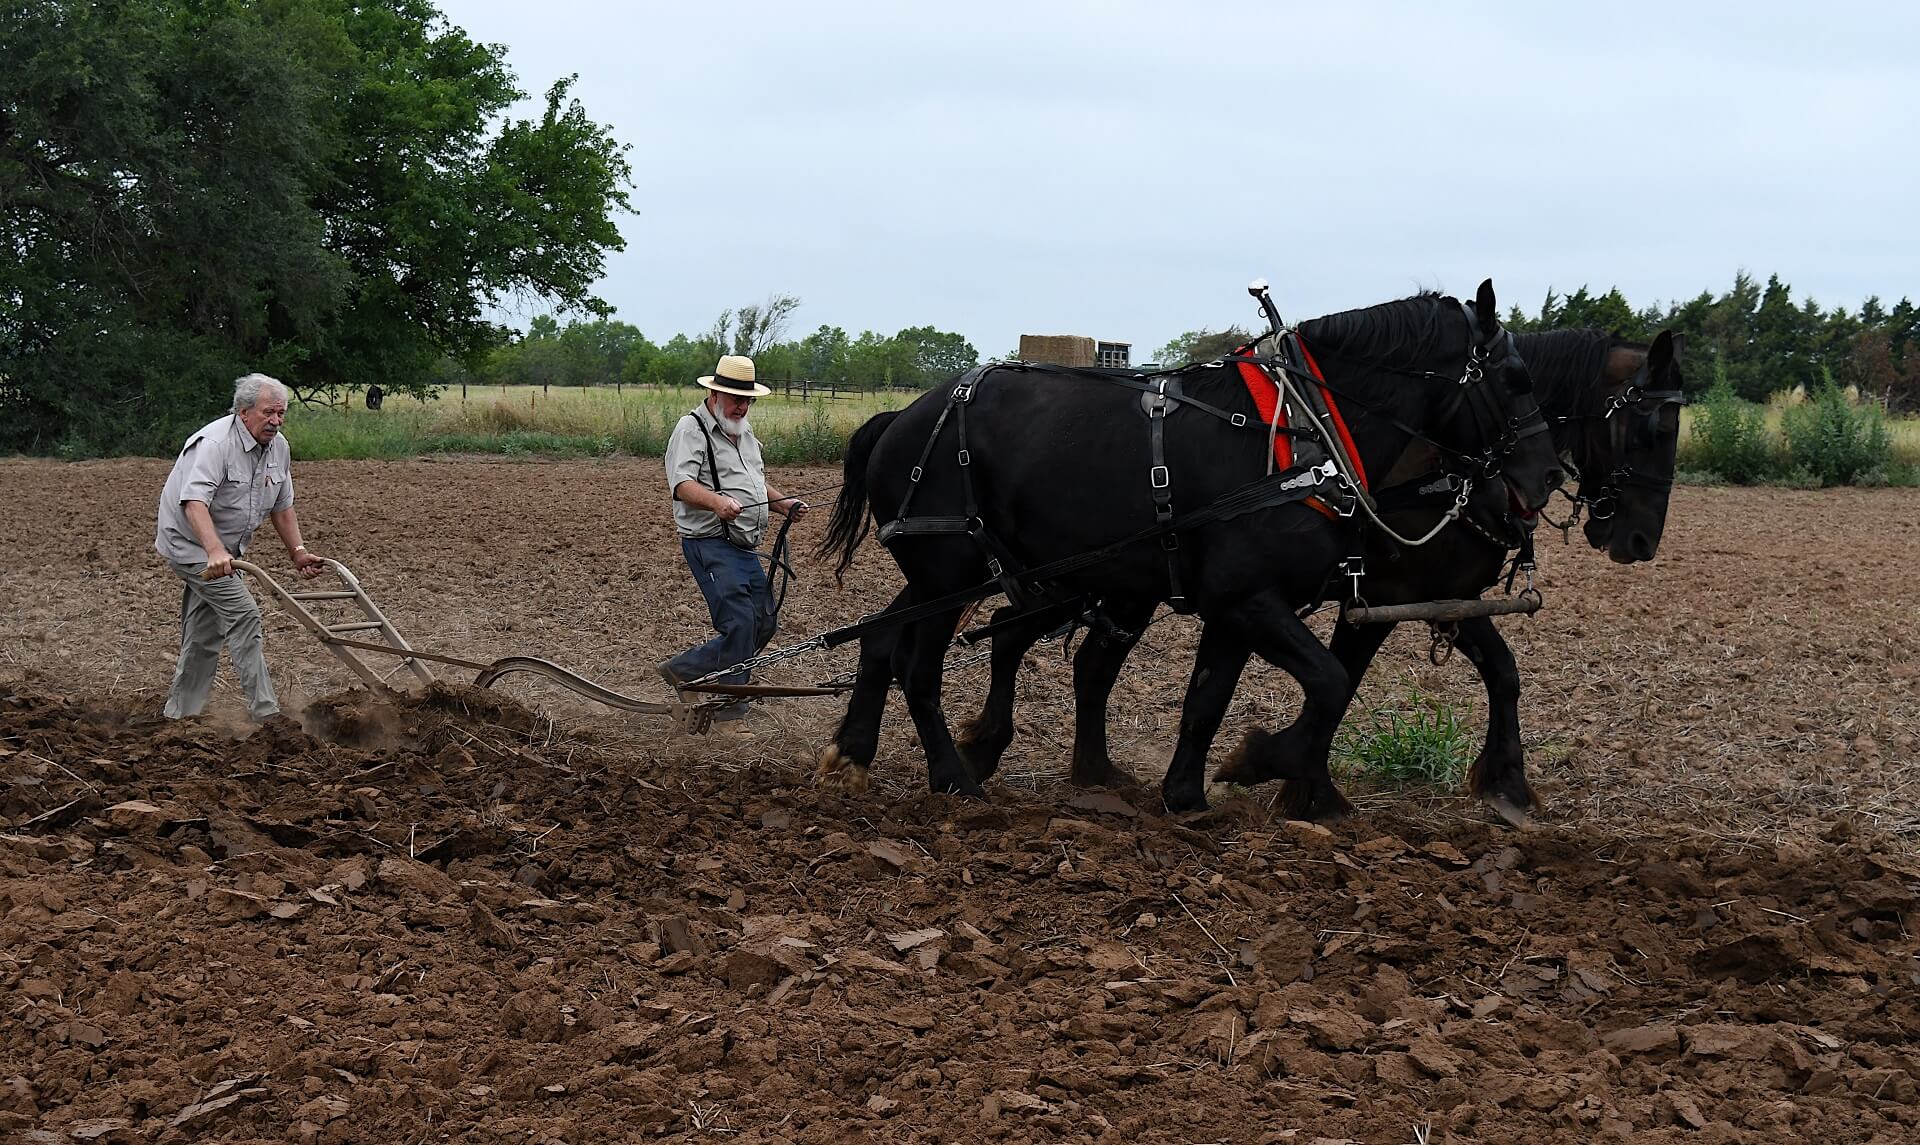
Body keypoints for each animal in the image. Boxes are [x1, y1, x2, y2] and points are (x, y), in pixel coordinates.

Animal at [816, 282, 1567, 804]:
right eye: (1514, 379)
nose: (1545, 477)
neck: (1304, 434)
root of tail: (898, 419)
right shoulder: (1253, 597)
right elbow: (1329, 680)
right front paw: (1271, 766)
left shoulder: (1245, 603)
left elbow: (1209, 697)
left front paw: (1189, 792)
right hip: (952, 572)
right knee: (919, 665)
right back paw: (953, 778)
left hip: (961, 575)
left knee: (885, 639)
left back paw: (855, 753)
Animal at [928, 327, 1686, 821]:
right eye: (1653, 428)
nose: (1640, 539)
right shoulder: (1383, 595)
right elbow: (1339, 683)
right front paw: (1298, 783)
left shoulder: (1441, 597)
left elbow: (1501, 672)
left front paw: (1509, 788)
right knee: (1011, 632)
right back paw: (983, 749)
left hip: (1122, 583)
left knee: (1068, 653)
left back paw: (1072, 768)